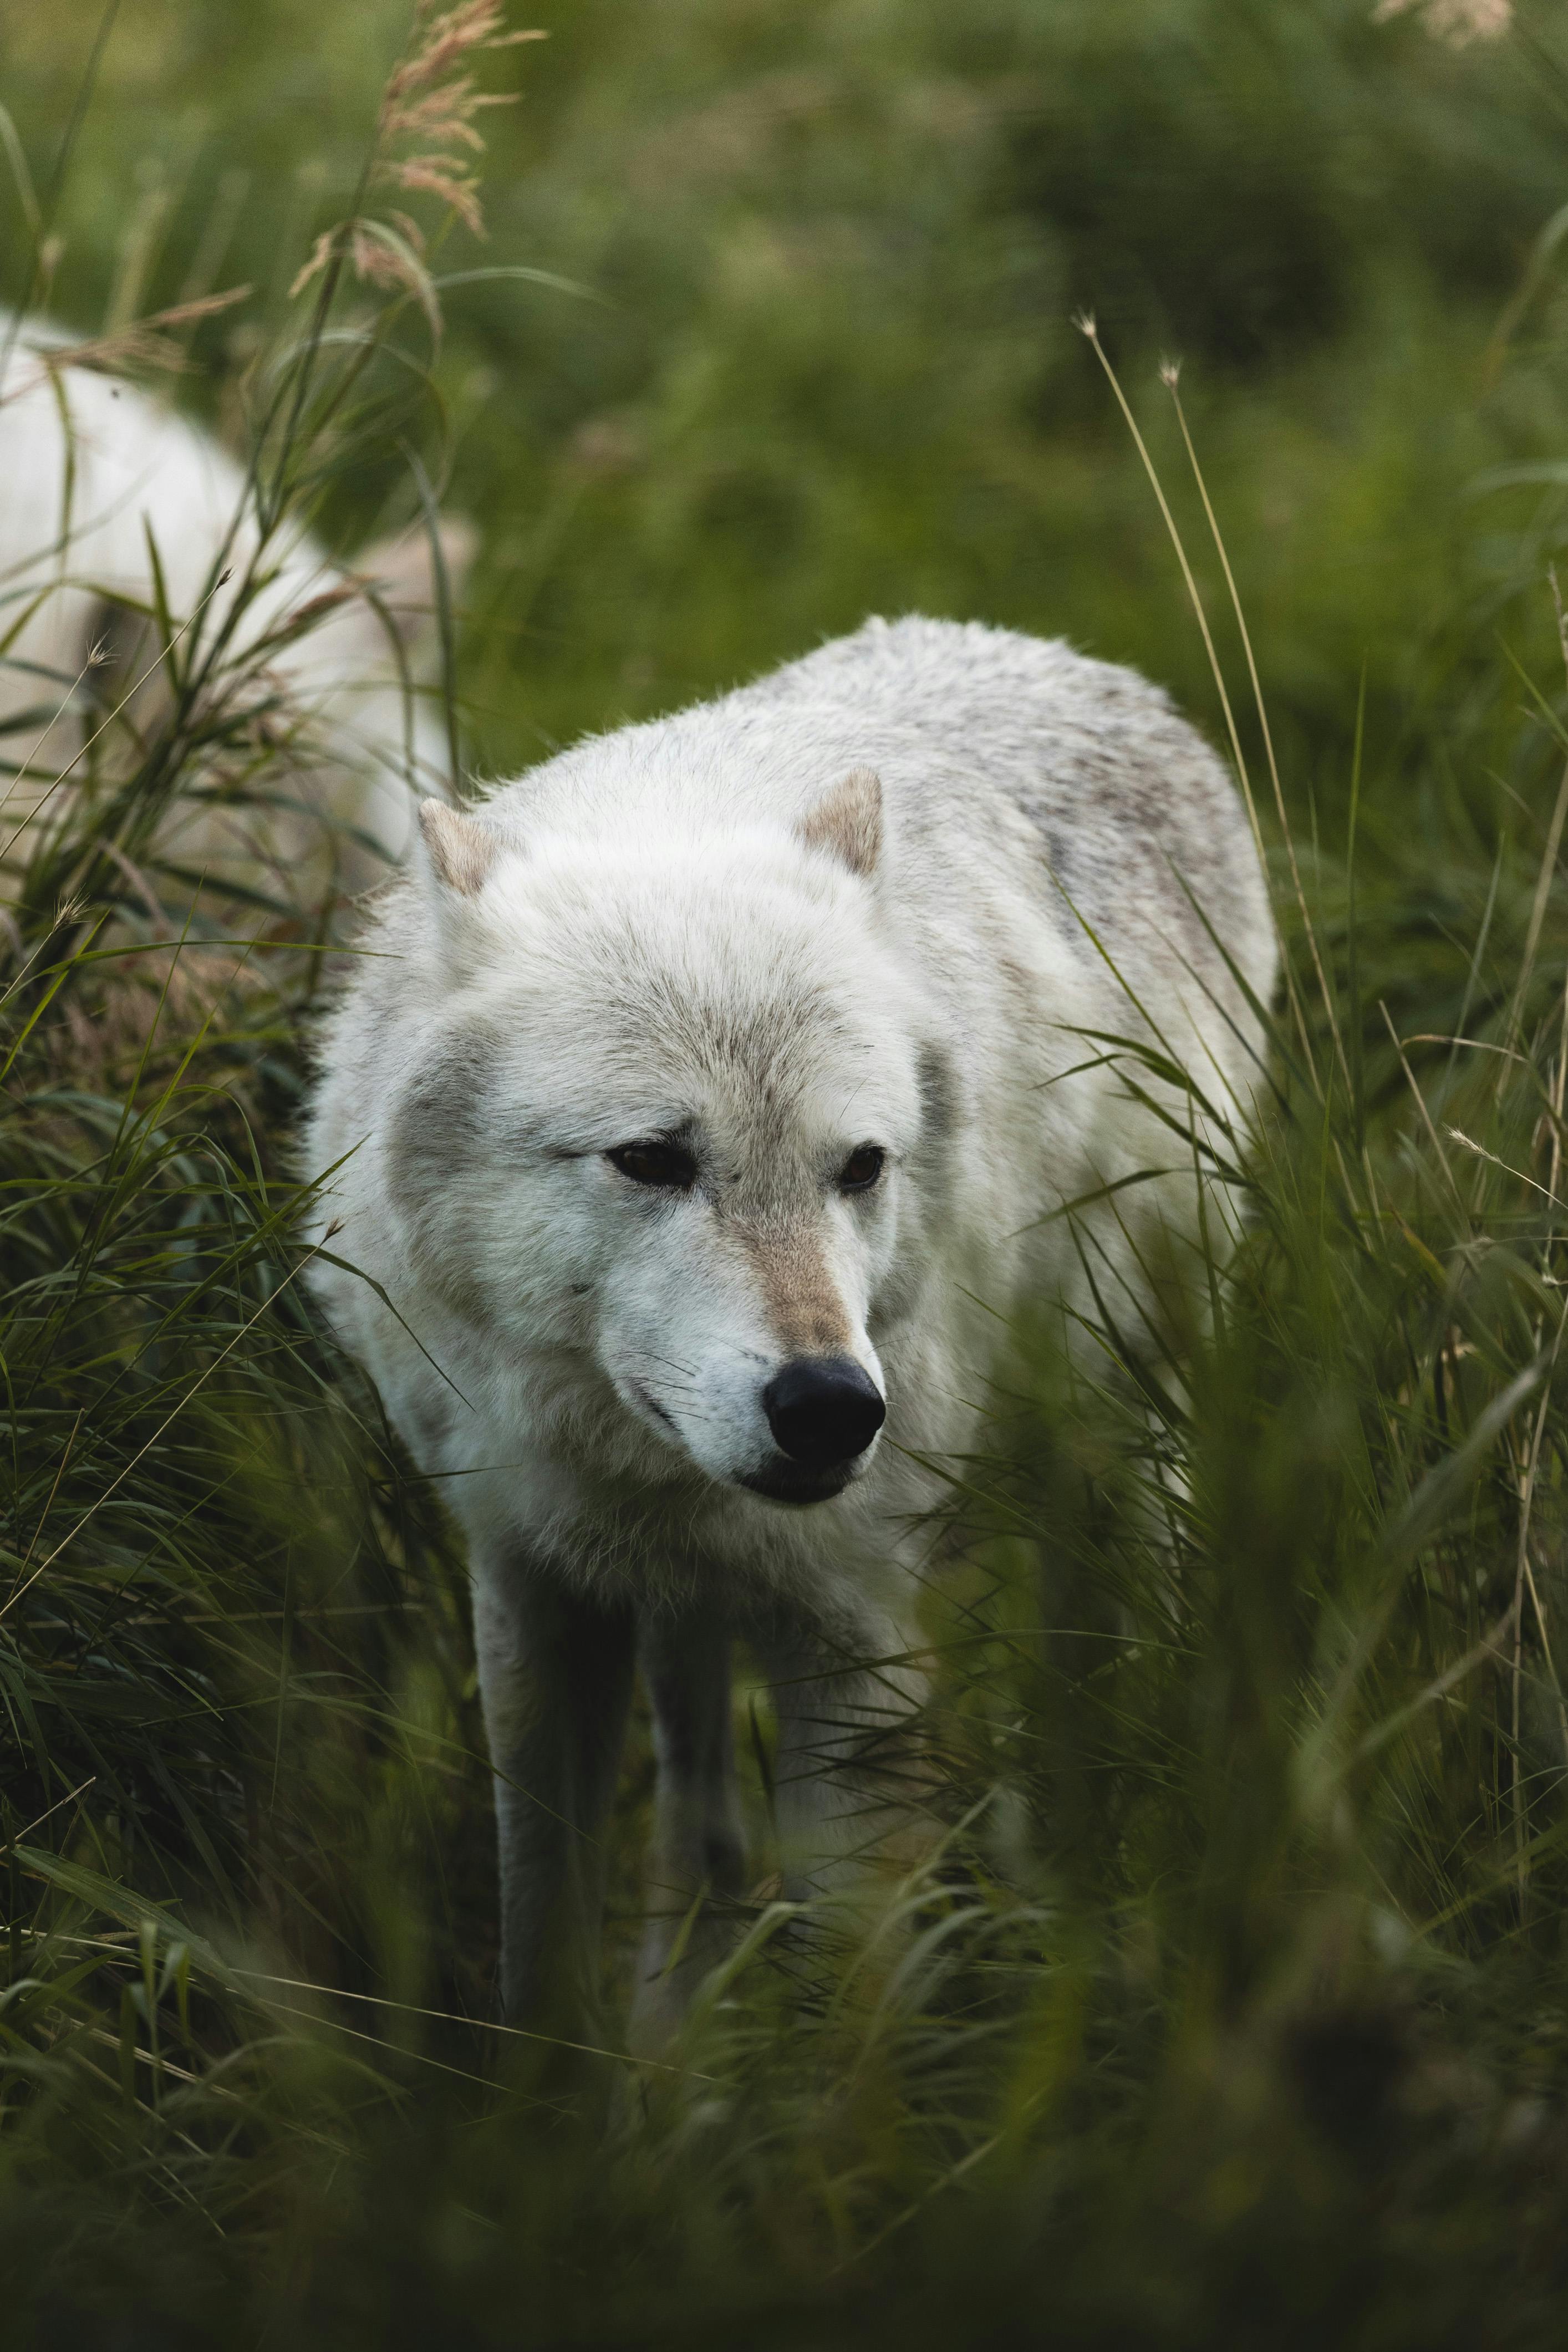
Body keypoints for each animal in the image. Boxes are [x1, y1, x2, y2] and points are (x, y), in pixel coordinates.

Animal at [302, 615, 1278, 2033]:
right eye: (652, 1160)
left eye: (859, 1167)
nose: (831, 1409)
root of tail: (1072, 657)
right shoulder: (534, 1580)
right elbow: (543, 1934)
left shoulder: (852, 1633)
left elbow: (854, 2001)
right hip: (687, 1605)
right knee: (702, 1827)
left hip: (1135, 1420)